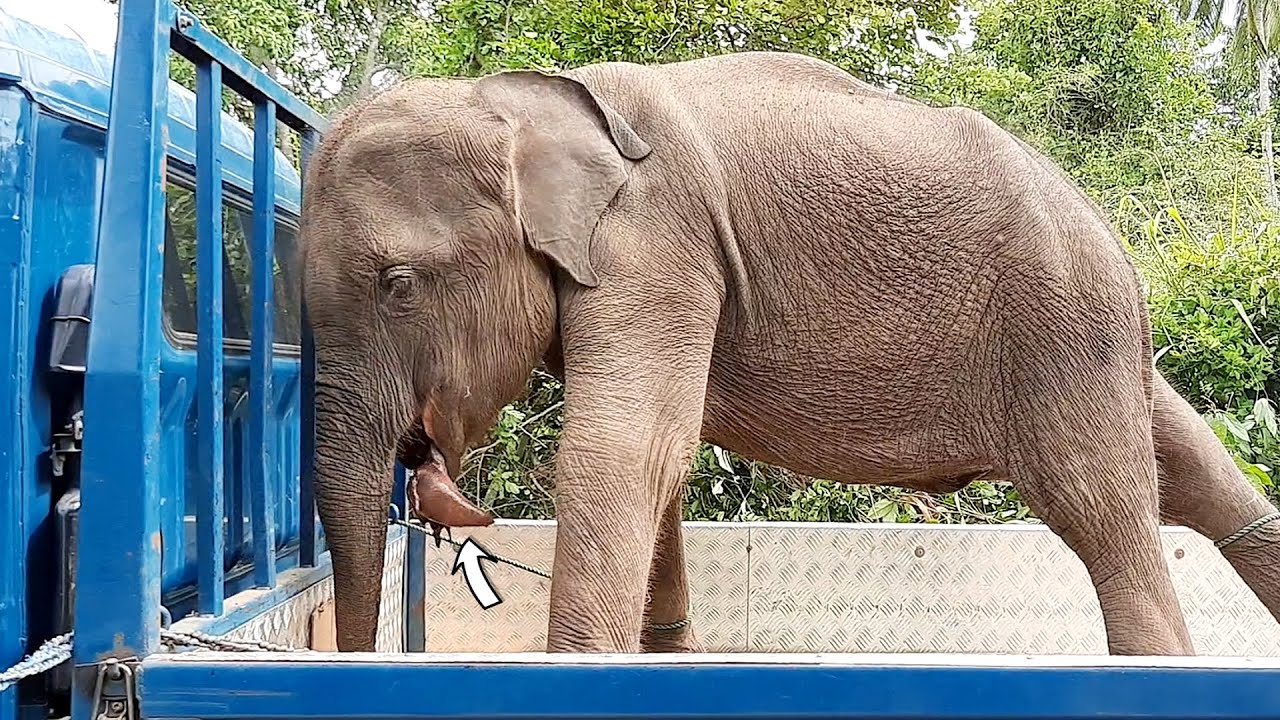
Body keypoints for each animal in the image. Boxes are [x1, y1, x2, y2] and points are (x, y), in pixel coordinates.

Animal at [297, 49, 1280, 656]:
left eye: (397, 284)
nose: (434, 480)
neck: (508, 99)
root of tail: (1115, 240)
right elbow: (660, 464)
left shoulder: (657, 240)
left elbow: (621, 451)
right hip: (1098, 337)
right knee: (1195, 473)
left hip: (1064, 322)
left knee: (1101, 507)